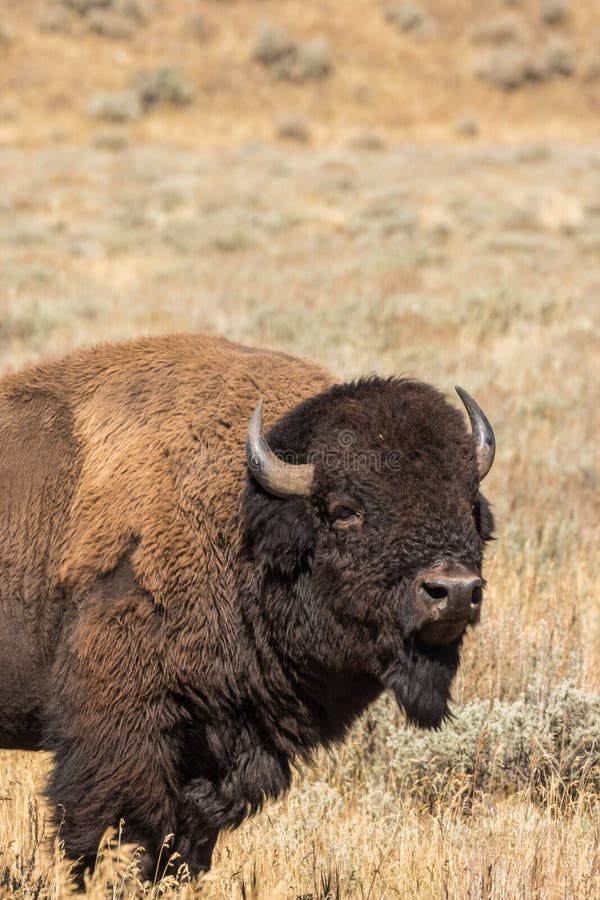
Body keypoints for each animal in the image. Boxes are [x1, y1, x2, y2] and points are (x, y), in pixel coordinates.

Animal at [0, 333, 495, 879]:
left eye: (470, 504)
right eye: (346, 511)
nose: (453, 590)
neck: (246, 522)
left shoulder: (230, 743)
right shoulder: (120, 728)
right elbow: (111, 826)